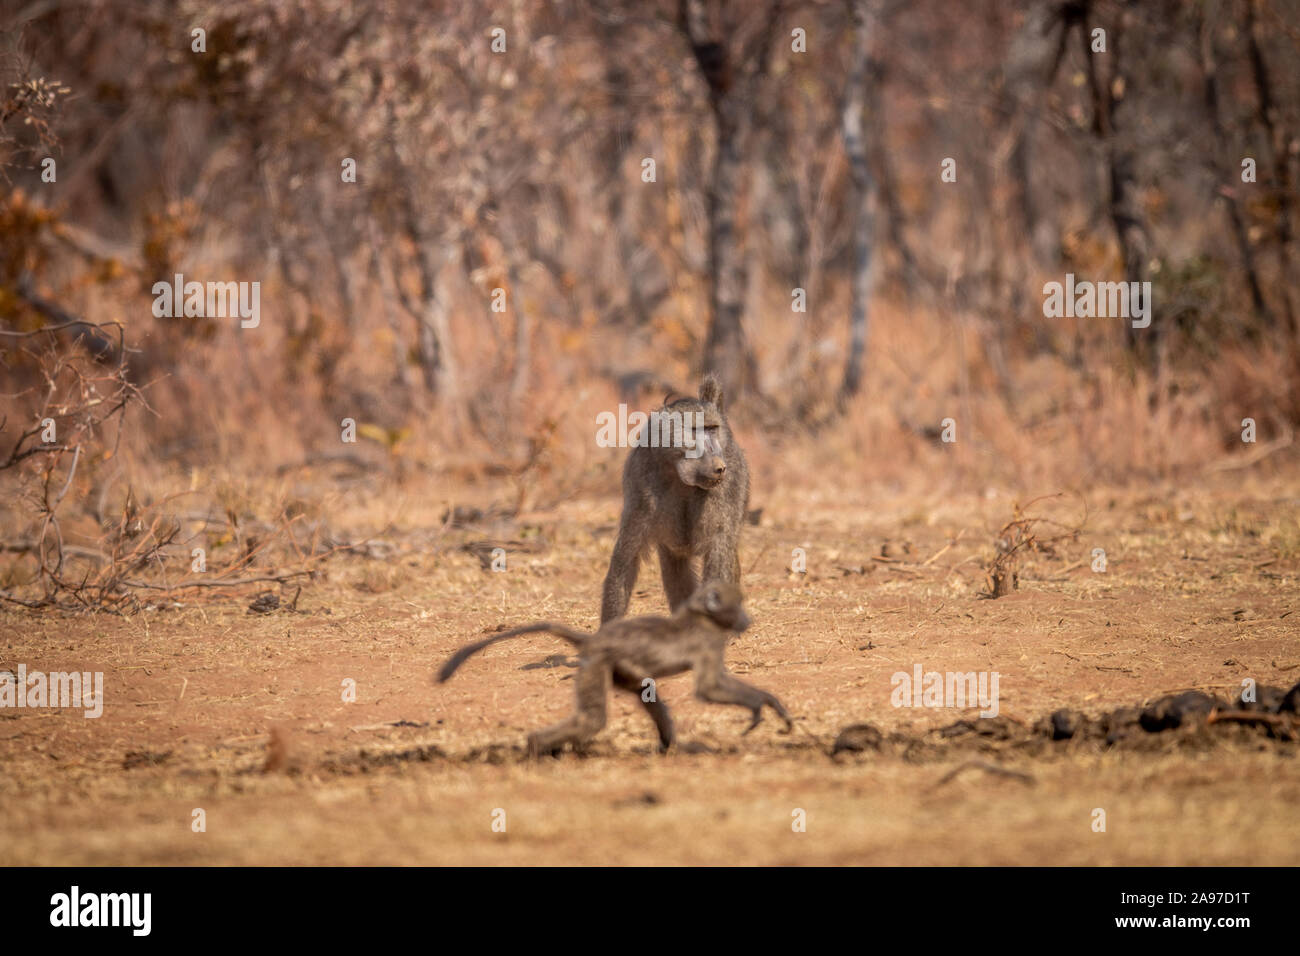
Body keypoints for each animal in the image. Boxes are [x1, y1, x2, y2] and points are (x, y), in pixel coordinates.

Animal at [437, 581, 791, 756]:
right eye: (738, 604)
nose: (747, 620)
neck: (701, 616)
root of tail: (595, 639)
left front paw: (772, 704)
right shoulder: (708, 642)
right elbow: (709, 688)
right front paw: (759, 706)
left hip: (617, 668)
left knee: (646, 693)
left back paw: (671, 748)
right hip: (596, 663)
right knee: (593, 719)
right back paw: (537, 748)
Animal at [600, 374, 749, 625]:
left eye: (713, 429)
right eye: (697, 430)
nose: (720, 467)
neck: (678, 473)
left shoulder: (726, 488)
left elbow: (718, 552)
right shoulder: (642, 481)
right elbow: (627, 557)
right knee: (676, 565)